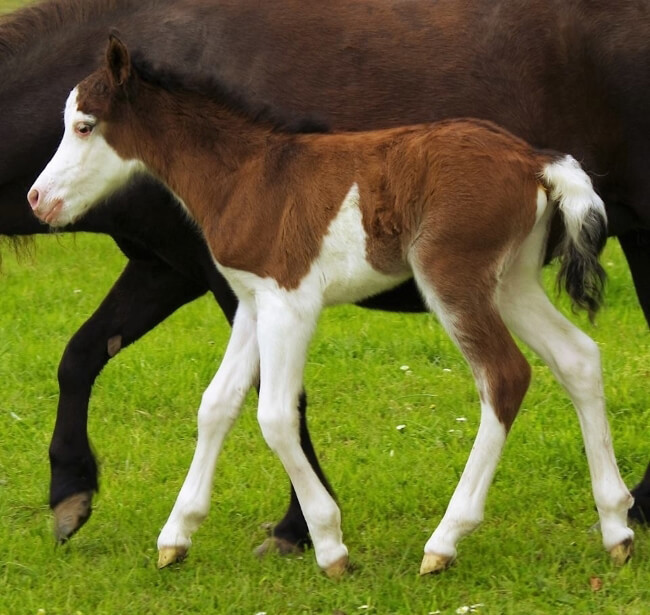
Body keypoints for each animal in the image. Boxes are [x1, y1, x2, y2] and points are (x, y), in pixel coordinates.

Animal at [2, 0, 649, 549]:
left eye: (85, 124)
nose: (39, 198)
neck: (246, 170)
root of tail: (537, 162)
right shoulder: (222, 288)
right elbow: (199, 396)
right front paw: (151, 527)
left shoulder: (283, 299)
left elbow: (276, 408)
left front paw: (314, 535)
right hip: (511, 283)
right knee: (577, 358)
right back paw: (616, 523)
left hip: (457, 281)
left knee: (504, 378)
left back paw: (447, 540)